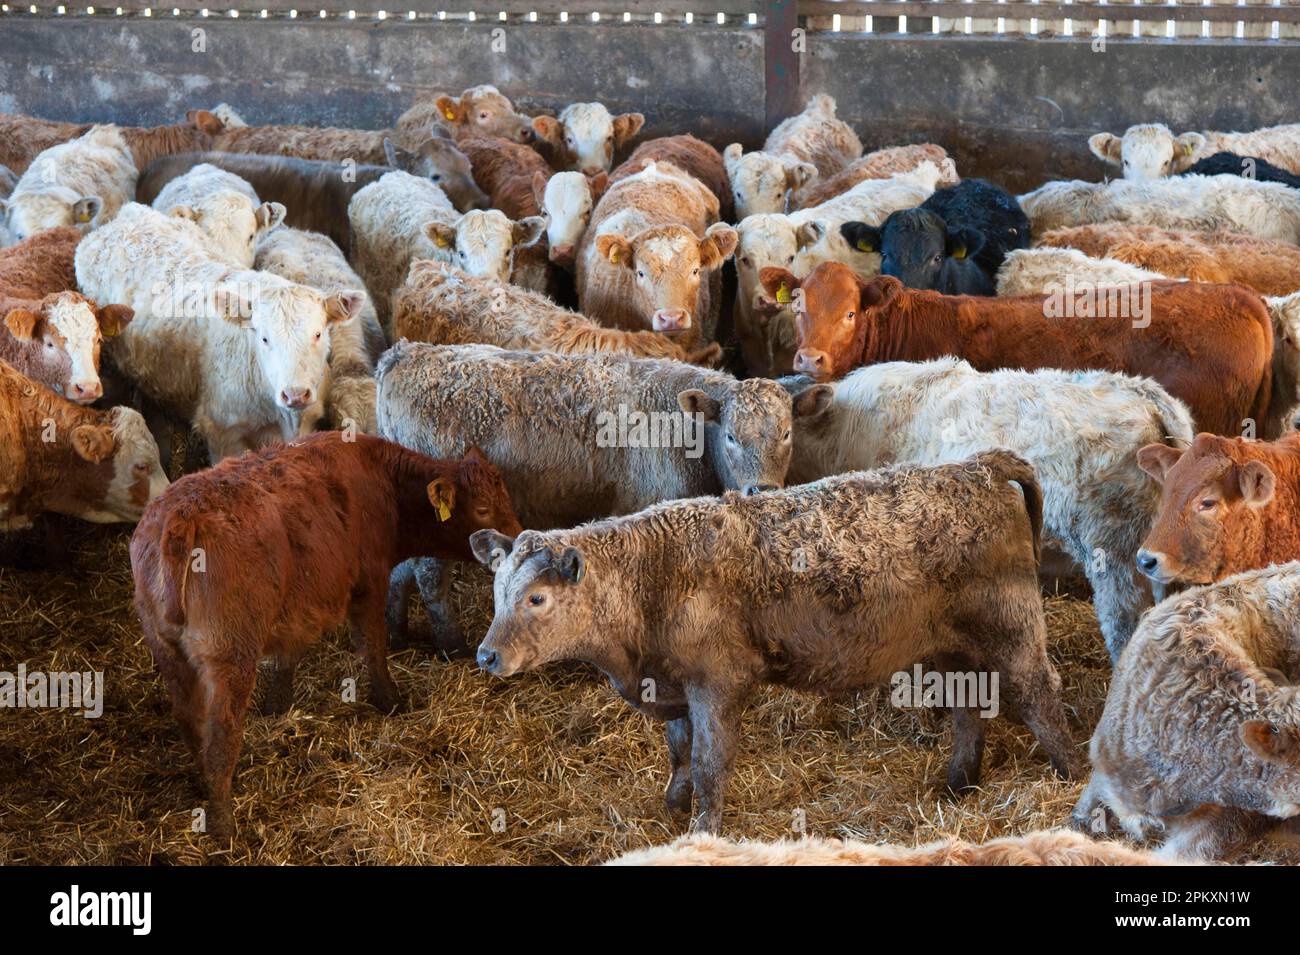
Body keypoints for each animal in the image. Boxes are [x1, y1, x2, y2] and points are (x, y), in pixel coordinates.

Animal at [130, 432, 522, 839]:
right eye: (481, 509)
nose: (517, 543)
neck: (381, 475)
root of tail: (182, 516)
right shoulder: (369, 582)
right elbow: (372, 645)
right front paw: (391, 700)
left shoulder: (297, 604)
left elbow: (288, 655)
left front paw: (278, 704)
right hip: (231, 657)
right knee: (221, 735)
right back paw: (224, 823)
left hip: (169, 652)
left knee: (190, 720)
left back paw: (202, 782)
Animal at [375, 341, 813, 649]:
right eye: (732, 436)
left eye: (786, 433)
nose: (762, 490)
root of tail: (404, 353)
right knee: (430, 578)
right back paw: (454, 646)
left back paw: (396, 633)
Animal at [470, 451, 1079, 833]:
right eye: (498, 593)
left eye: (536, 599)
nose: (486, 655)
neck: (650, 579)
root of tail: (976, 465)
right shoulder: (673, 683)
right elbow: (679, 753)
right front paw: (673, 808)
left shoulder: (716, 683)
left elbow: (710, 762)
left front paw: (703, 829)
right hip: (952, 642)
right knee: (968, 706)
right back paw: (958, 784)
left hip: (1012, 625)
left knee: (1038, 692)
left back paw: (1073, 775)